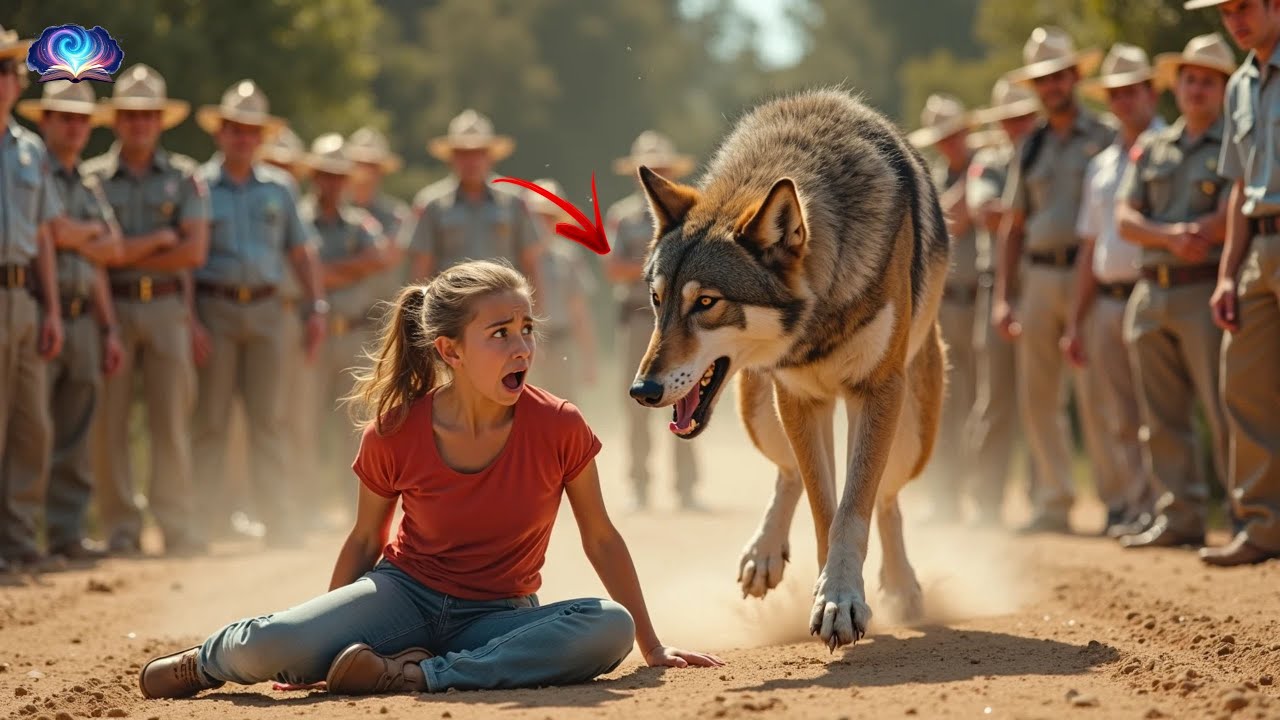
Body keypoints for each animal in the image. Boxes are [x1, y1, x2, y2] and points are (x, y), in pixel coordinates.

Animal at [627, 88, 949, 650]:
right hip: (762, 411)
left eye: (706, 302)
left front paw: (842, 600)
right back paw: (763, 557)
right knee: (789, 473)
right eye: (658, 300)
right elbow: (824, 508)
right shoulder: (799, 396)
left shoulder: (875, 391)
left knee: (887, 499)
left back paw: (902, 587)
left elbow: (852, 511)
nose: (641, 389)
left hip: (911, 431)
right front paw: (828, 598)